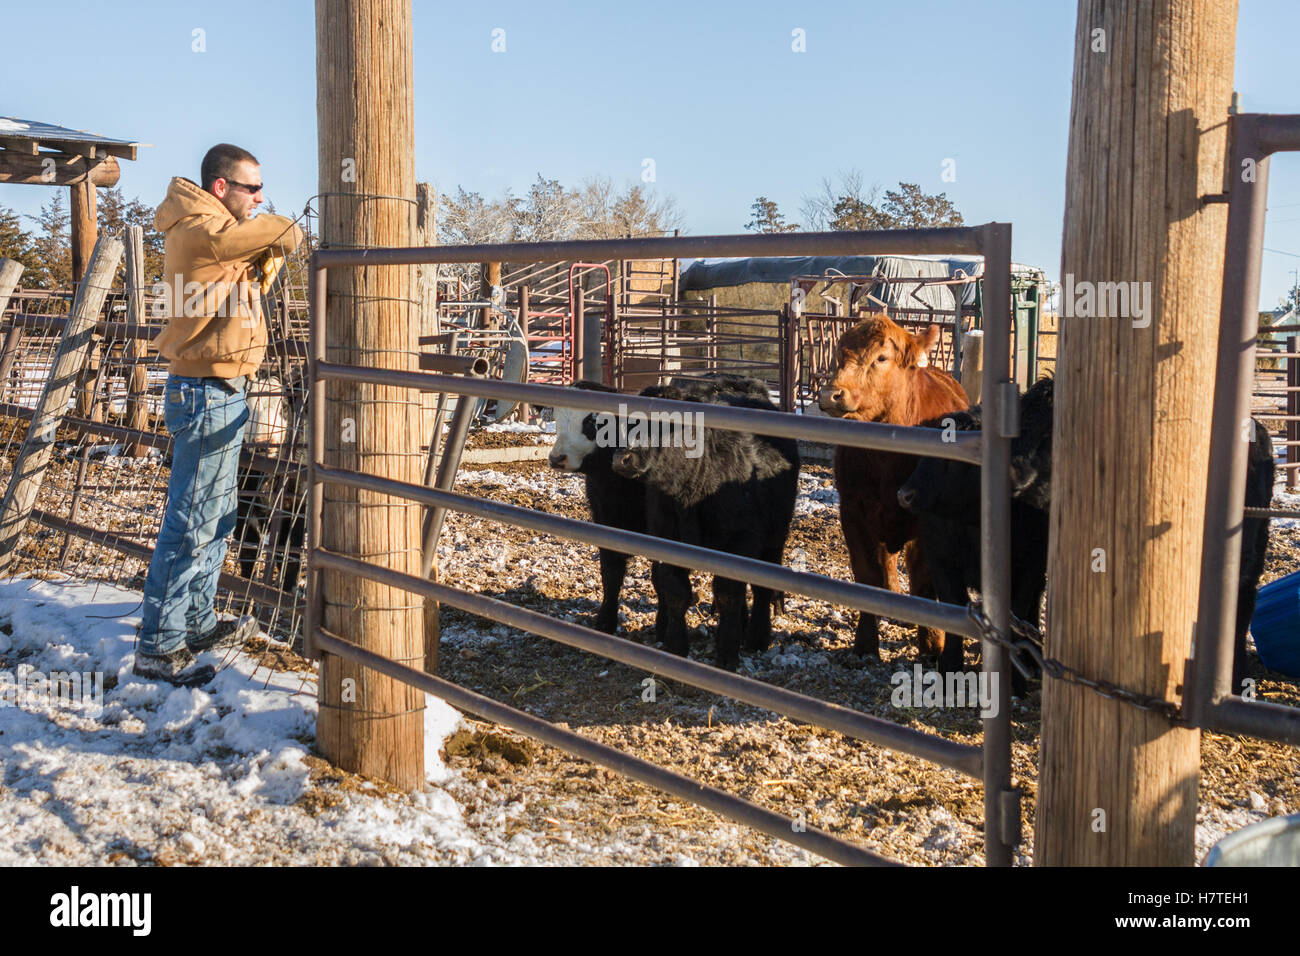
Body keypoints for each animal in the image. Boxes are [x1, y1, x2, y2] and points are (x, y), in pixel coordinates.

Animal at [612, 377, 799, 670]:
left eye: (667, 424)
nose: (622, 459)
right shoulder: (666, 538)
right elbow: (677, 591)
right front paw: (676, 645)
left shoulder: (741, 539)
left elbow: (729, 593)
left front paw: (727, 652)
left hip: (775, 535)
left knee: (761, 587)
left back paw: (757, 637)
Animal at [817, 313, 969, 662]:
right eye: (839, 354)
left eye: (881, 358)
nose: (830, 394)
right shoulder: (852, 510)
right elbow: (866, 574)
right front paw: (865, 644)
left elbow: (925, 580)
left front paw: (932, 644)